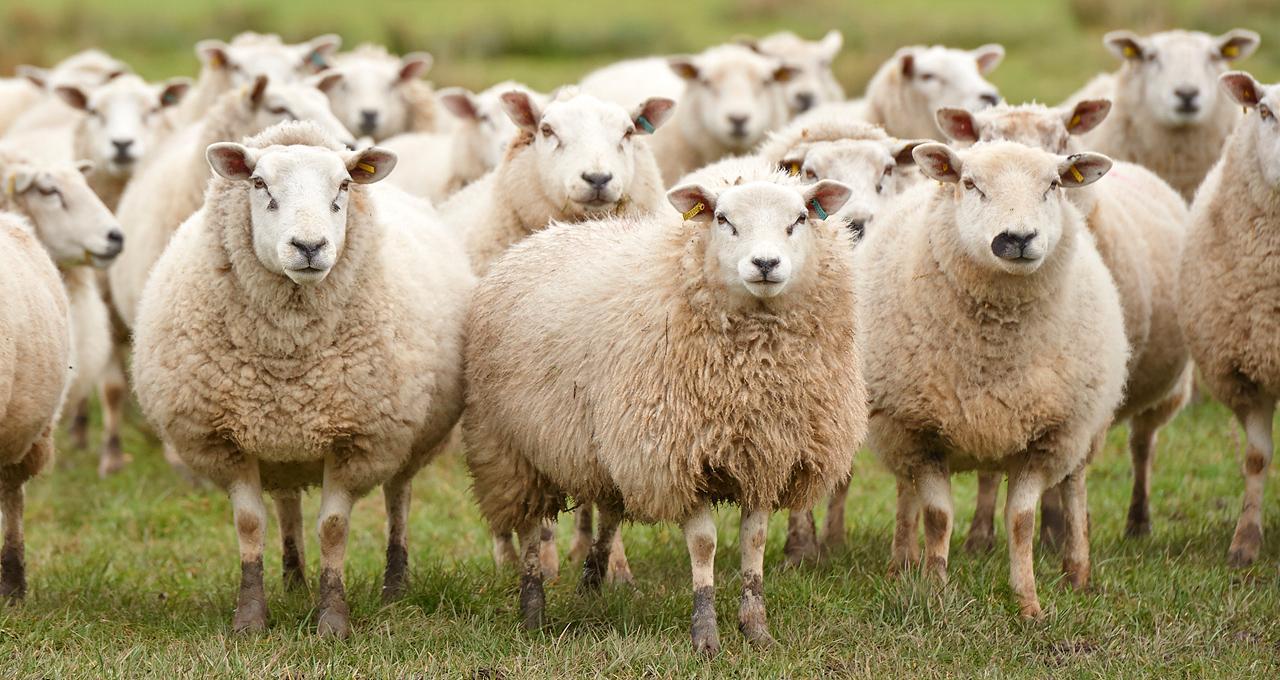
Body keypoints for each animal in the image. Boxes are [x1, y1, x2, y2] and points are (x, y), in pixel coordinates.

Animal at [132, 121, 473, 636]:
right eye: (258, 184)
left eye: (345, 187)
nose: (309, 247)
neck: (288, 358)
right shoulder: (226, 439)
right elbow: (251, 525)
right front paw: (251, 617)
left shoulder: (358, 440)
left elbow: (333, 528)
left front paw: (332, 619)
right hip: (280, 444)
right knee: (288, 504)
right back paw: (293, 581)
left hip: (406, 438)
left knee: (398, 497)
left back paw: (395, 587)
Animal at [463, 154, 862, 654]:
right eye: (723, 219)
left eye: (800, 220)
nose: (766, 263)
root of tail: (543, 235)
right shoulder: (677, 455)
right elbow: (705, 545)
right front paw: (706, 635)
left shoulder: (765, 455)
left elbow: (753, 543)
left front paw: (757, 630)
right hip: (511, 448)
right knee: (532, 528)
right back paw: (533, 608)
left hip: (605, 447)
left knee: (609, 509)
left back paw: (593, 582)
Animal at [861, 141, 1128, 619]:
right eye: (970, 184)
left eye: (1054, 185)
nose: (1017, 238)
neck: (994, 348)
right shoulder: (920, 432)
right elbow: (938, 517)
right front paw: (935, 593)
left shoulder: (1047, 437)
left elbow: (1021, 521)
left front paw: (1028, 605)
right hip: (896, 429)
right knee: (905, 492)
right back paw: (900, 565)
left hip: (1084, 429)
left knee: (1075, 488)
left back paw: (1077, 573)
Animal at [935, 101, 1192, 550]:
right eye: (984, 140)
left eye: (1060, 143)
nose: (1019, 235)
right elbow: (989, 468)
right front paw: (980, 535)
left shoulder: (1080, 389)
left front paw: (1056, 531)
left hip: (1160, 388)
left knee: (1142, 446)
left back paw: (1137, 522)